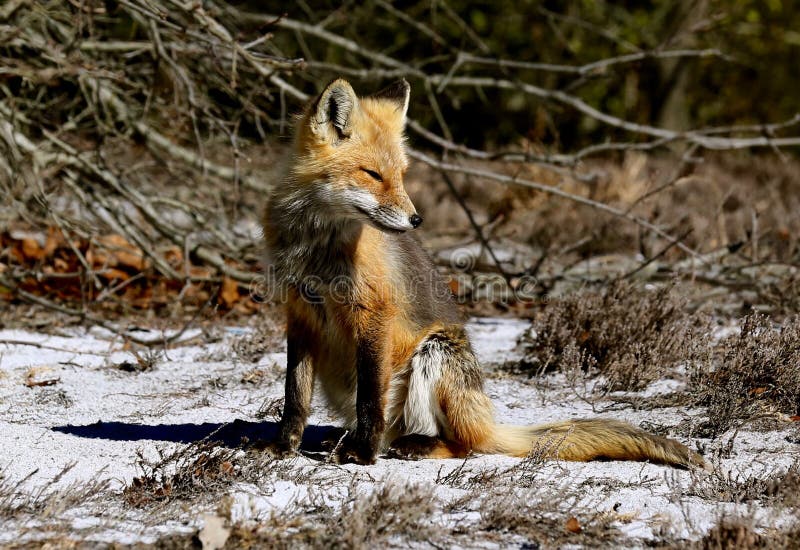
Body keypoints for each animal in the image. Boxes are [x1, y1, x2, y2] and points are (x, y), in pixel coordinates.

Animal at [261, 78, 706, 469]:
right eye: (372, 174)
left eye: (401, 174)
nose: (416, 220)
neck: (317, 247)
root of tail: (485, 421)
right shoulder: (299, 313)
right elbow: (294, 396)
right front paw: (283, 446)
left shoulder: (373, 313)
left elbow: (370, 398)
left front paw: (362, 455)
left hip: (437, 352)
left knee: (460, 444)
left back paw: (410, 446)